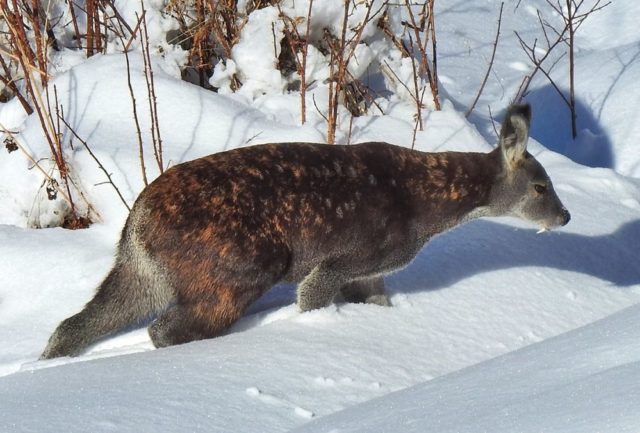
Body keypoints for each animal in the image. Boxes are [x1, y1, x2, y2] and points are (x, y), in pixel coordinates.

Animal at [41, 104, 570, 359]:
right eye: (540, 186)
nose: (565, 217)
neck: (427, 210)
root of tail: (137, 220)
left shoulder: (372, 275)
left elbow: (378, 304)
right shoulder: (345, 260)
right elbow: (312, 300)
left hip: (143, 275)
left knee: (73, 325)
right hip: (237, 269)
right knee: (166, 329)